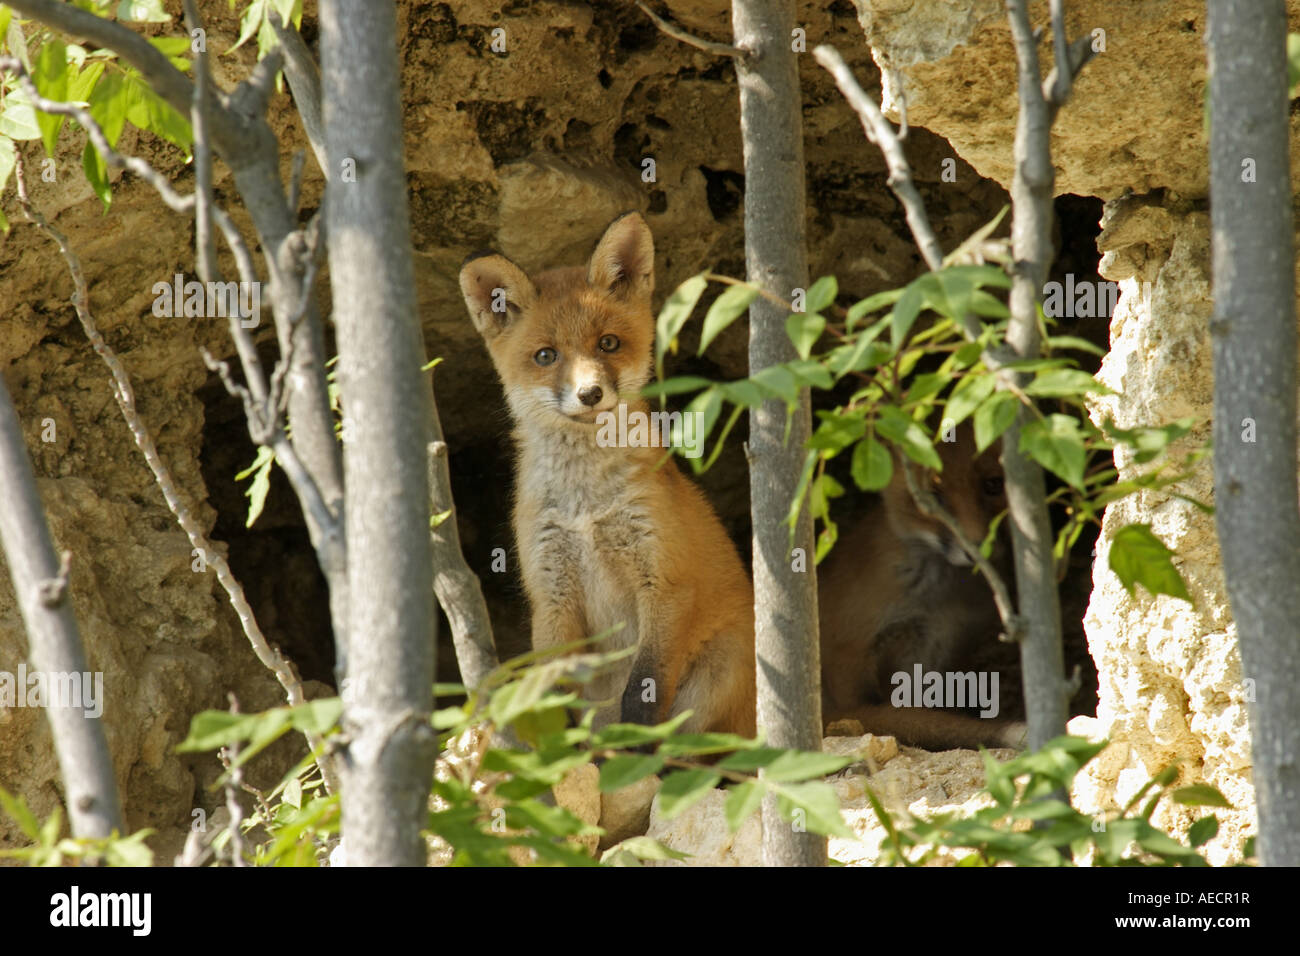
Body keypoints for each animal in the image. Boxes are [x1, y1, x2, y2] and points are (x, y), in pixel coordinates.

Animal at [458, 212, 756, 736]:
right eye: (546, 356)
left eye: (608, 343)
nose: (590, 394)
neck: (586, 508)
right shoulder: (551, 595)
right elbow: (553, 696)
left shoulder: (664, 581)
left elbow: (642, 693)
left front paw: (636, 748)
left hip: (723, 666)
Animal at [818, 422, 1027, 750]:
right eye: (933, 497)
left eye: (993, 485)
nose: (977, 549)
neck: (935, 602)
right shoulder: (848, 651)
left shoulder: (945, 650)